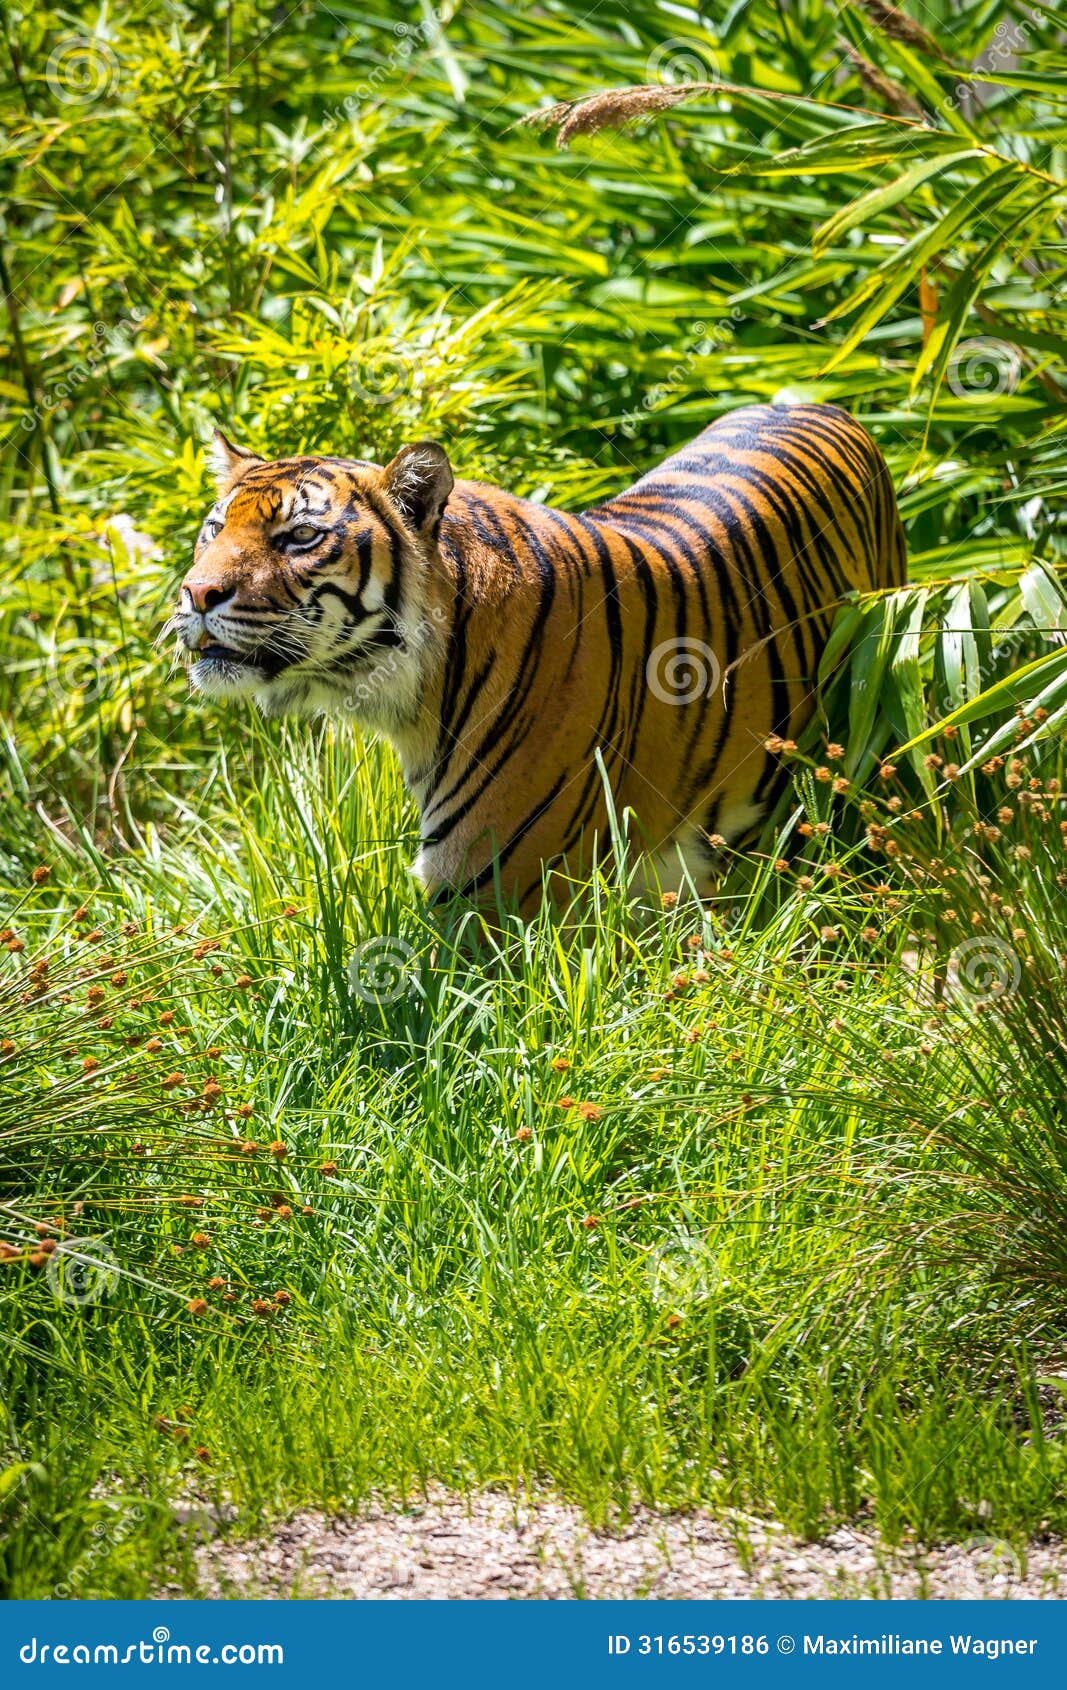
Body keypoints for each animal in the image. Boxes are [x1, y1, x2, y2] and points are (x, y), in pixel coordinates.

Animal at [175, 403, 905, 915]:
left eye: (300, 536)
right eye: (214, 529)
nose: (196, 592)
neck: (410, 700)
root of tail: (820, 406)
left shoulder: (499, 892)